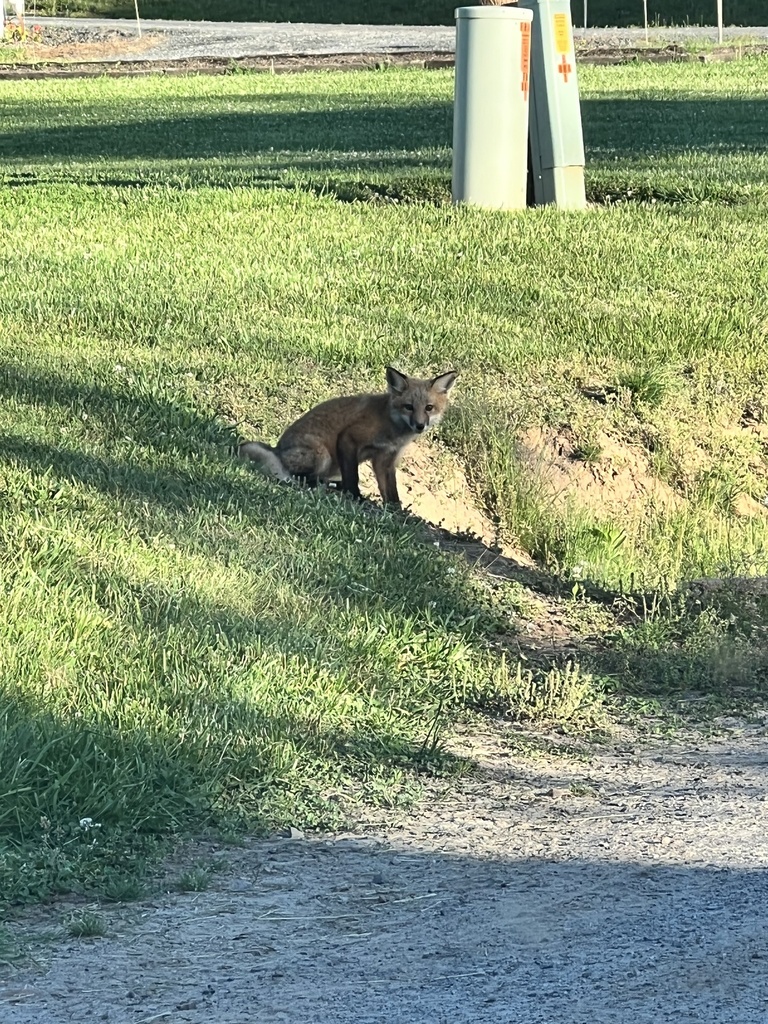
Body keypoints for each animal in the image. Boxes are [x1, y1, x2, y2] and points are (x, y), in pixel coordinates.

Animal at [237, 367, 458, 506]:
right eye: (409, 407)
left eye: (429, 408)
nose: (420, 425)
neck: (391, 427)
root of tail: (276, 450)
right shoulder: (349, 438)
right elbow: (353, 476)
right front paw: (355, 497)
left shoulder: (385, 460)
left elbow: (391, 491)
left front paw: (396, 511)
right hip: (323, 455)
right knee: (303, 478)